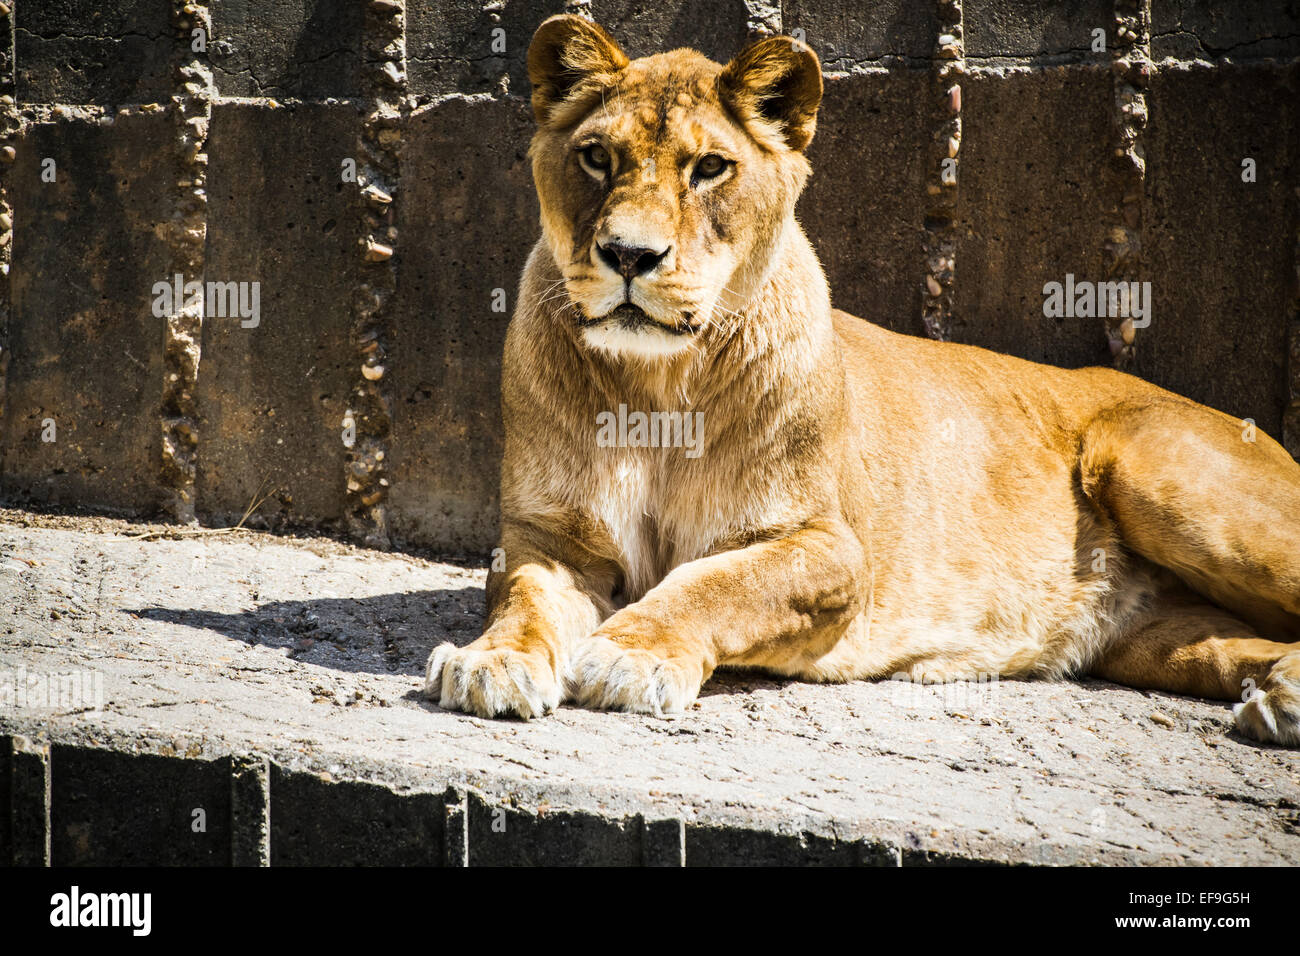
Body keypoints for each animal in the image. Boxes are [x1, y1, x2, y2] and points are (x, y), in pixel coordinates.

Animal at [424, 14, 1300, 747]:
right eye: (597, 156)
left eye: (709, 168)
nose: (630, 256)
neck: (655, 392)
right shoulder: (548, 537)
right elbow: (525, 596)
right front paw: (491, 660)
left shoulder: (832, 550)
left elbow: (714, 583)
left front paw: (629, 653)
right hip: (1156, 635)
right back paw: (1277, 695)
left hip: (1150, 464)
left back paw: (1283, 696)